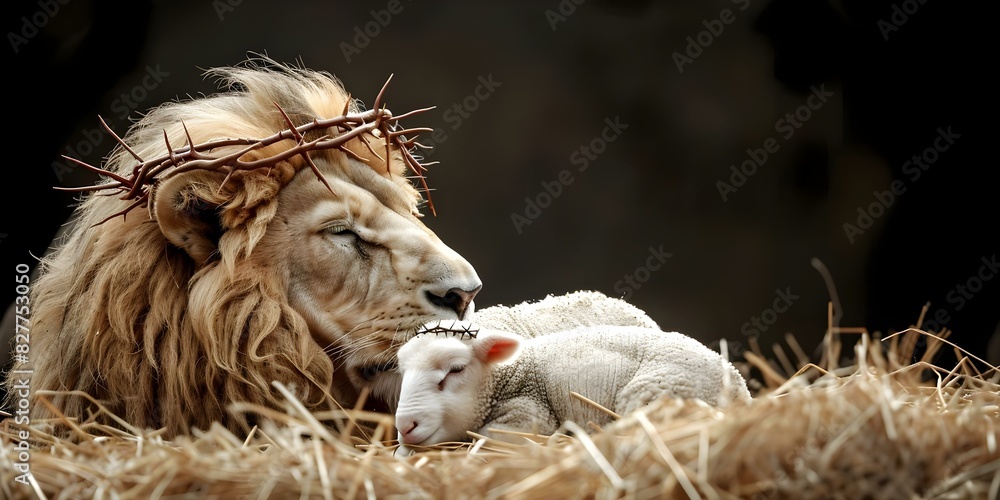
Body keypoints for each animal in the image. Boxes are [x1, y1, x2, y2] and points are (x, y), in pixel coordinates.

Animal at [392, 323, 751, 450]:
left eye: (455, 370)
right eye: (402, 372)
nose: (405, 426)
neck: (501, 377)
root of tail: (740, 388)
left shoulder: (528, 413)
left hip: (654, 391)